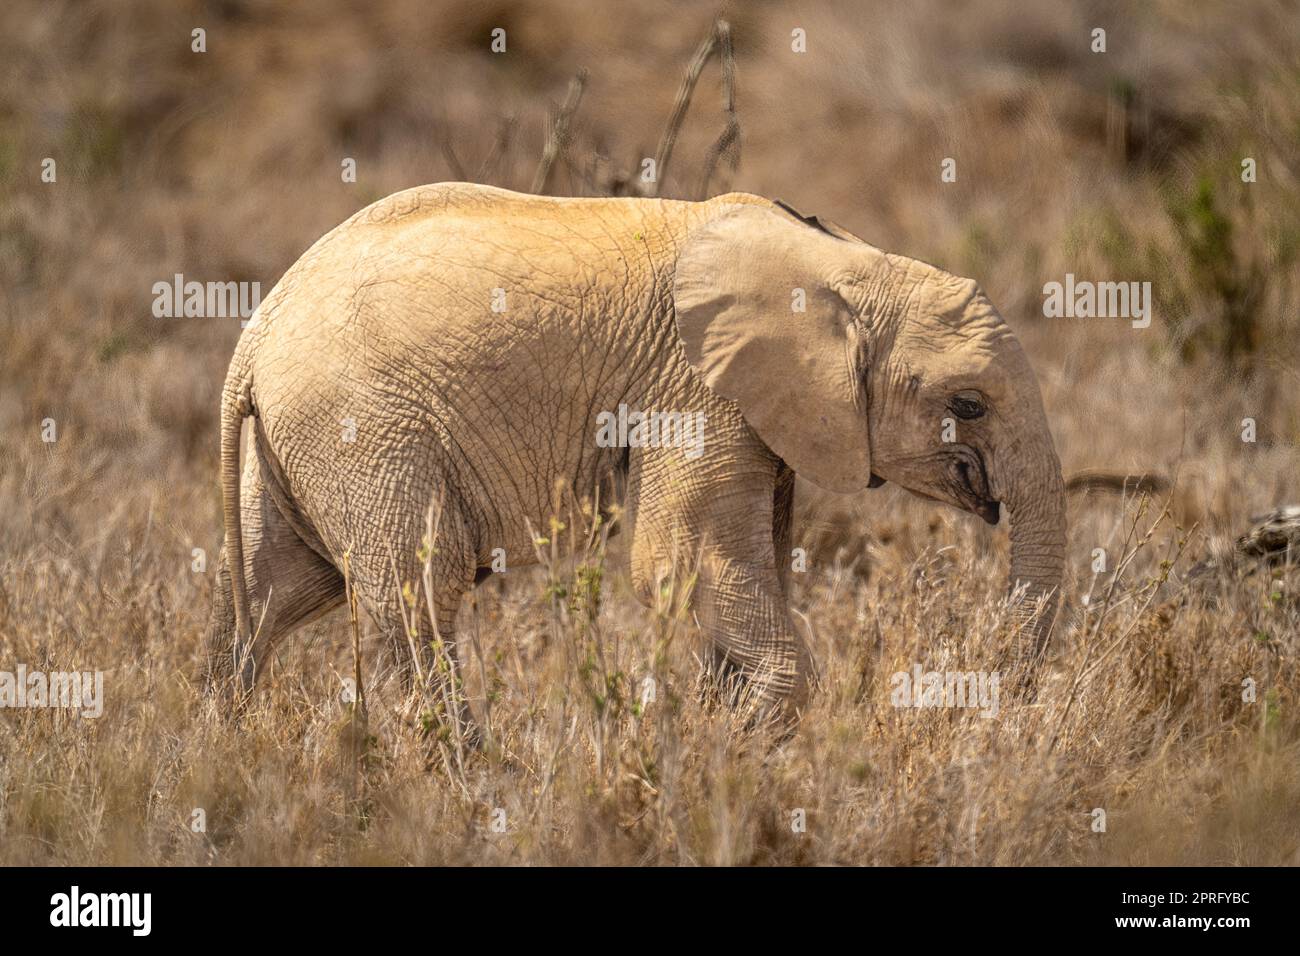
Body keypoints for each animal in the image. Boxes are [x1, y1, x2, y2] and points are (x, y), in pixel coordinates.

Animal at [204, 182, 1066, 730]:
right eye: (967, 405)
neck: (842, 264)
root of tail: (253, 336)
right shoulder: (695, 388)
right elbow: (684, 566)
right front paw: (739, 744)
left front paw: (727, 733)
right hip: (361, 426)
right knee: (416, 589)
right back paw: (465, 781)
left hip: (301, 444)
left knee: (272, 592)